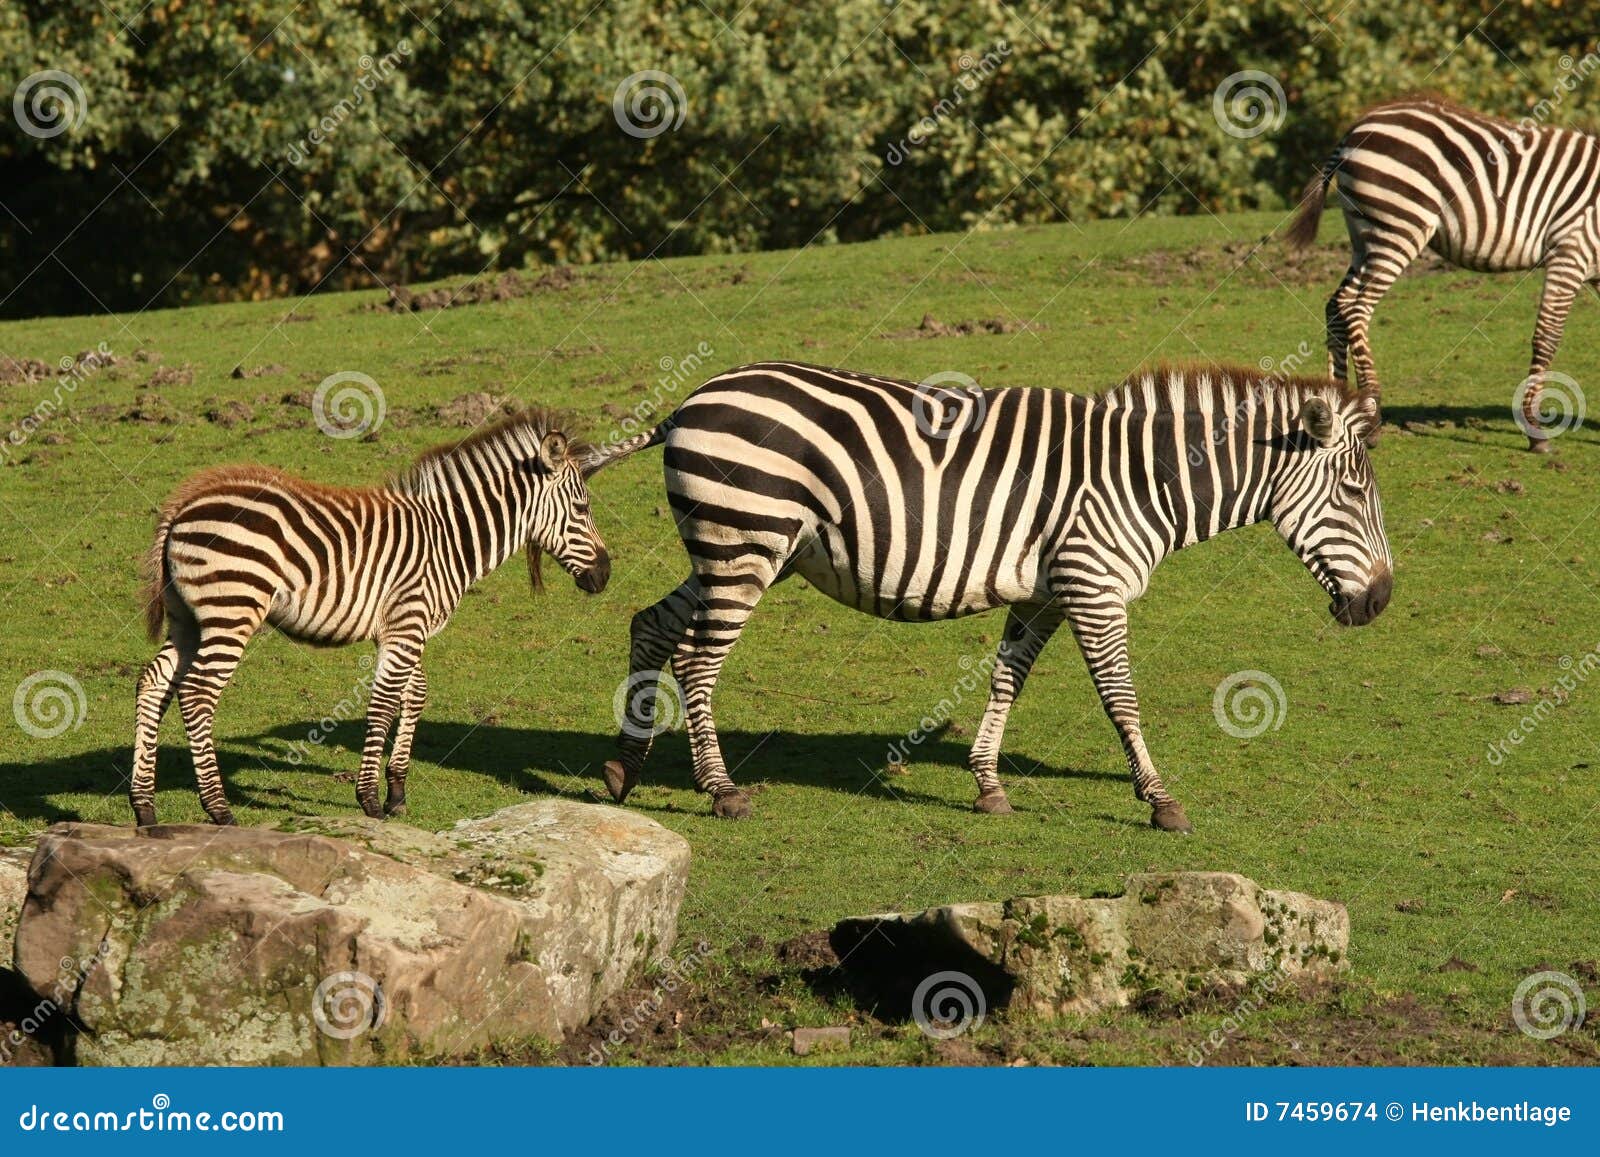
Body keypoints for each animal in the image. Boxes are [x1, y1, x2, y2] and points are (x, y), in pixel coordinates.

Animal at [132, 412, 609, 826]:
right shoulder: (407, 623)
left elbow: (415, 695)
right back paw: (219, 810)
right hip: (231, 610)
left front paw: (397, 790)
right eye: (582, 509)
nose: (605, 575)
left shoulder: (404, 628)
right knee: (197, 694)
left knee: (153, 682)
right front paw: (370, 800)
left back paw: (144, 807)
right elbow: (383, 704)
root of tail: (184, 504)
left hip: (188, 618)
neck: (448, 539)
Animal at [589, 360, 1393, 832]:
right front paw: (1160, 799)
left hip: (745, 548)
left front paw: (986, 784)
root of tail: (690, 401)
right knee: (698, 659)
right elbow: (1122, 699)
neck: (1144, 477)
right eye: (1355, 494)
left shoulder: (1044, 594)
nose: (1382, 602)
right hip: (748, 542)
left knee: (651, 623)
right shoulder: (1093, 585)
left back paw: (625, 766)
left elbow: (1009, 678)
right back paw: (721, 789)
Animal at [1289, 97, 1600, 451]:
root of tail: (1354, 130)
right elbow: (1547, 337)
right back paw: (1372, 420)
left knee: (1336, 305)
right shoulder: (1571, 251)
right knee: (1355, 308)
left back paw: (1336, 408)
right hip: (1399, 227)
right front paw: (1535, 432)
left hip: (1364, 237)